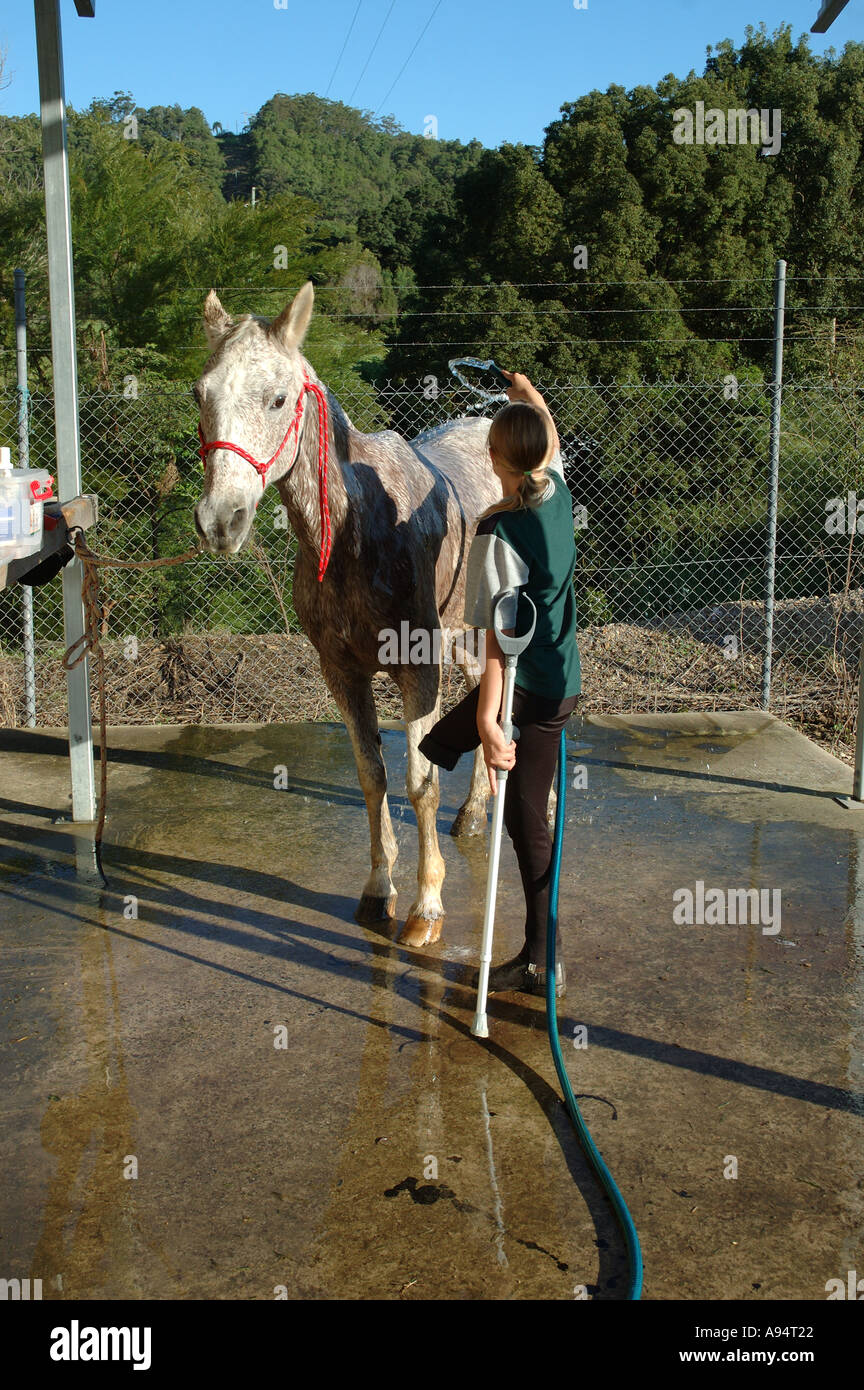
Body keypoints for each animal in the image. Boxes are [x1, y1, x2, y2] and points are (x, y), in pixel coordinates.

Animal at [192, 282, 501, 947]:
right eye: (200, 393)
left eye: (278, 398)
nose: (220, 520)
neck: (359, 531)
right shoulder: (343, 673)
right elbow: (372, 778)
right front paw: (379, 892)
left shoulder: (418, 670)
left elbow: (420, 783)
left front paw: (426, 909)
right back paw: (475, 814)